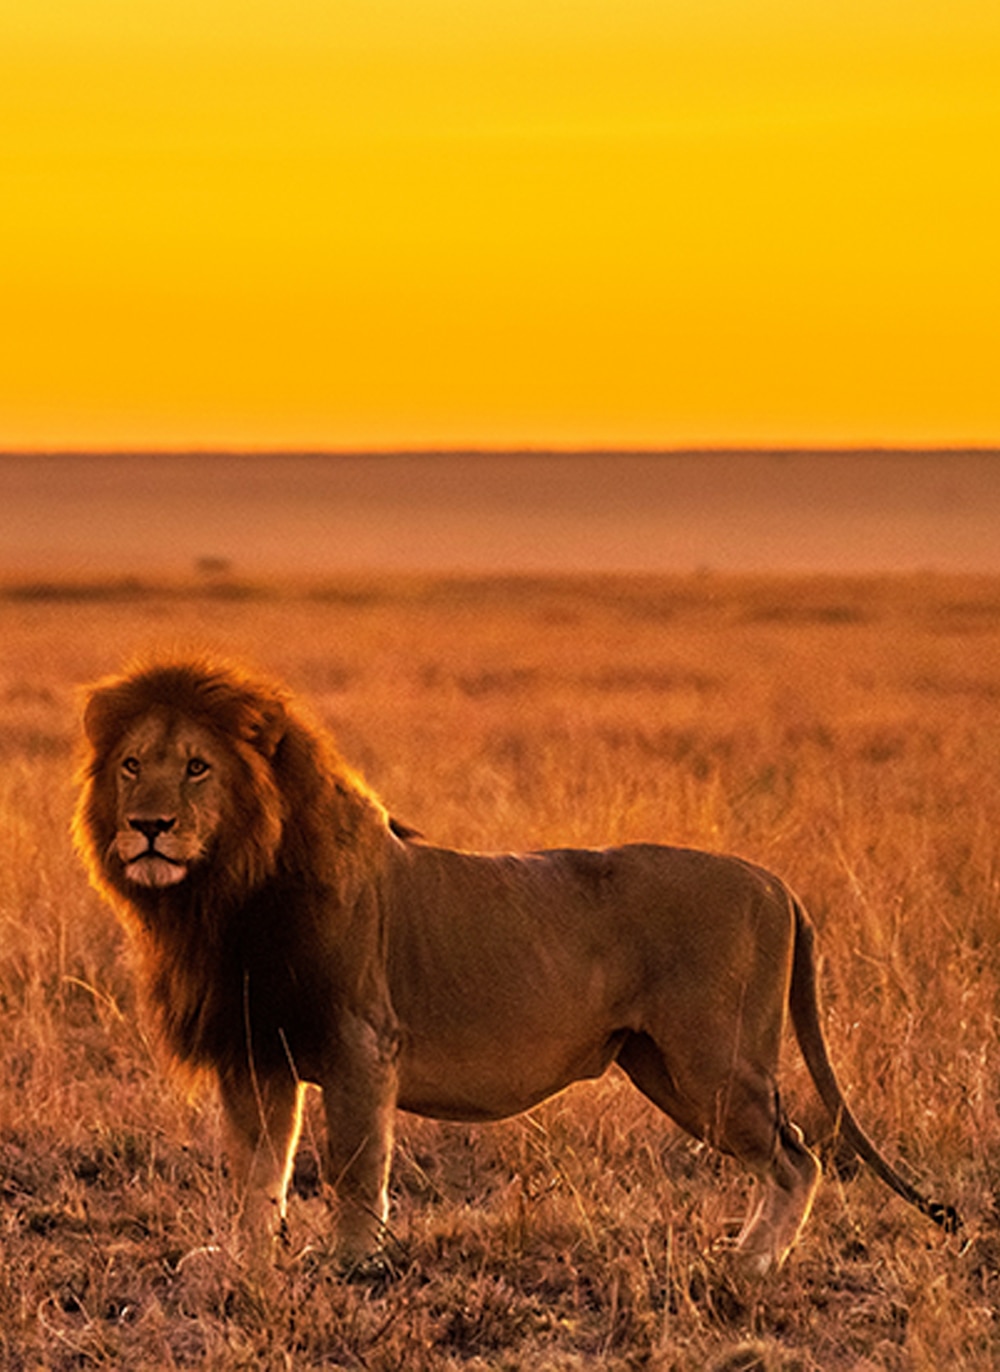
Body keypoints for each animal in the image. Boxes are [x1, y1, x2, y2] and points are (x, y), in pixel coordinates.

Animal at [72, 658, 958, 1275]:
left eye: (197, 767)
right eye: (131, 765)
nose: (148, 827)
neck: (224, 895)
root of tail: (774, 882)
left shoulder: (361, 1042)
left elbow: (355, 1163)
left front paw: (355, 1262)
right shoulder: (256, 1050)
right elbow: (258, 1169)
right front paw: (245, 1261)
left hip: (714, 1061)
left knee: (798, 1156)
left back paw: (751, 1266)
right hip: (664, 1069)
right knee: (788, 1153)